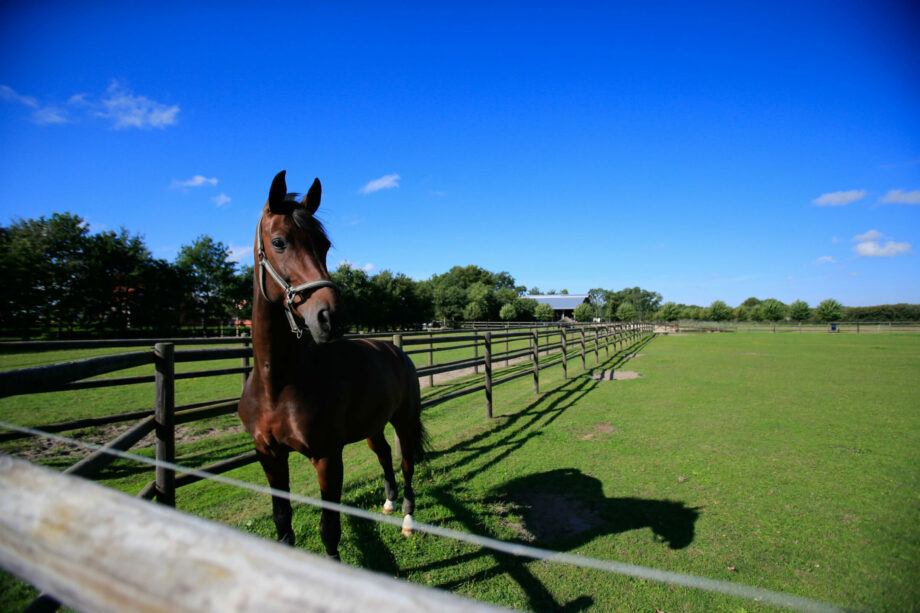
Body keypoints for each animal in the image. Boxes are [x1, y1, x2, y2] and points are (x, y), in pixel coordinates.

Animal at [237, 170, 427, 560]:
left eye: (324, 245)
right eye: (278, 242)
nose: (331, 317)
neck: (277, 383)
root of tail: (396, 352)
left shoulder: (327, 457)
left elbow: (330, 528)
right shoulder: (269, 456)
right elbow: (282, 520)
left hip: (403, 422)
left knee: (405, 464)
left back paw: (407, 518)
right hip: (373, 426)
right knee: (384, 455)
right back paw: (388, 503)